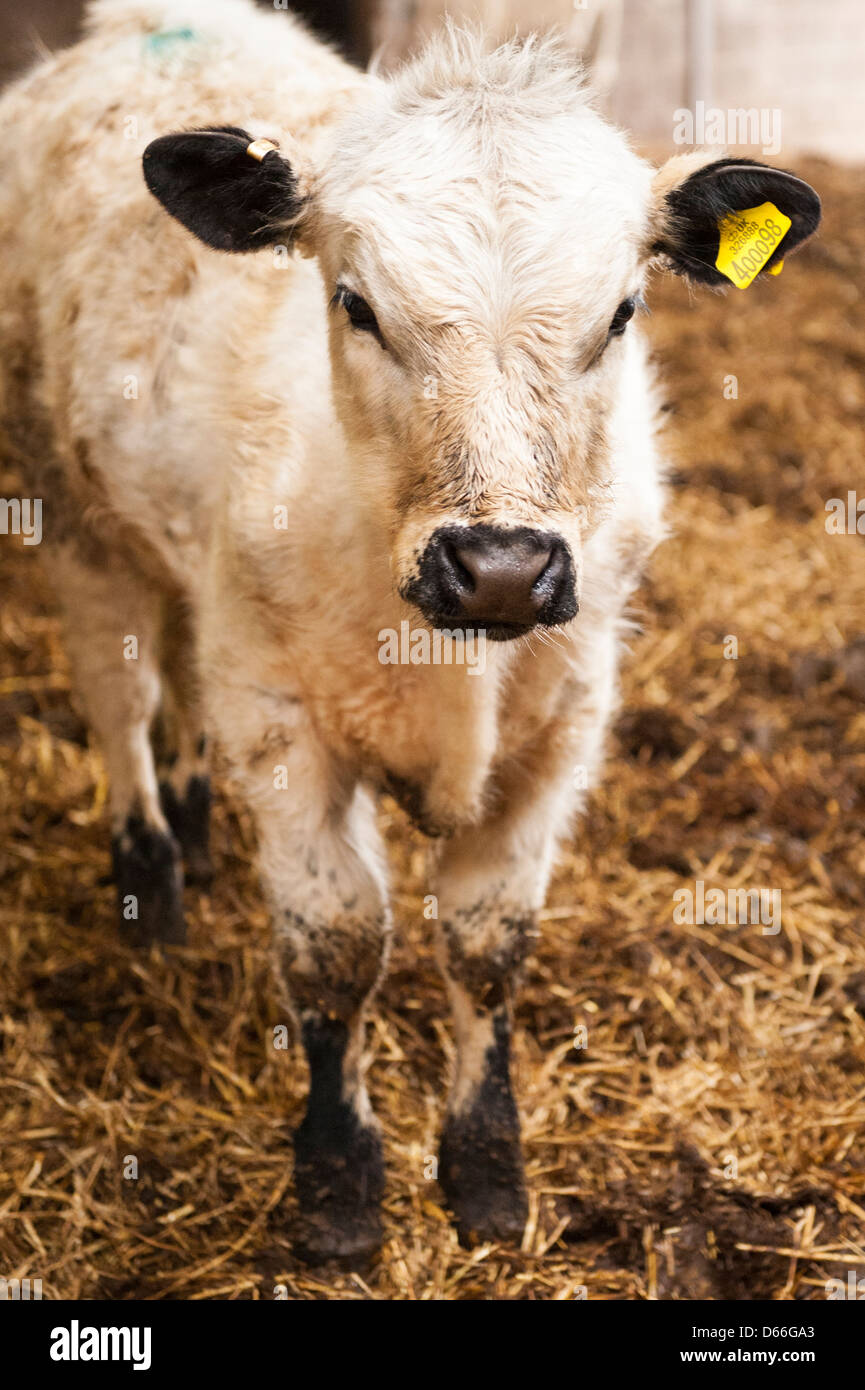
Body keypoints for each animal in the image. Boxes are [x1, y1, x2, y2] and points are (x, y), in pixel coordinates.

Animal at [0, 0, 820, 1260]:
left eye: (621, 312)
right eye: (356, 304)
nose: (500, 567)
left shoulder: (566, 722)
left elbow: (489, 944)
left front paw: (485, 1172)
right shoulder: (279, 716)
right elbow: (336, 947)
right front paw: (338, 1183)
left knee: (175, 667)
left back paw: (191, 820)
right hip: (71, 509)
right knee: (119, 694)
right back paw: (151, 869)